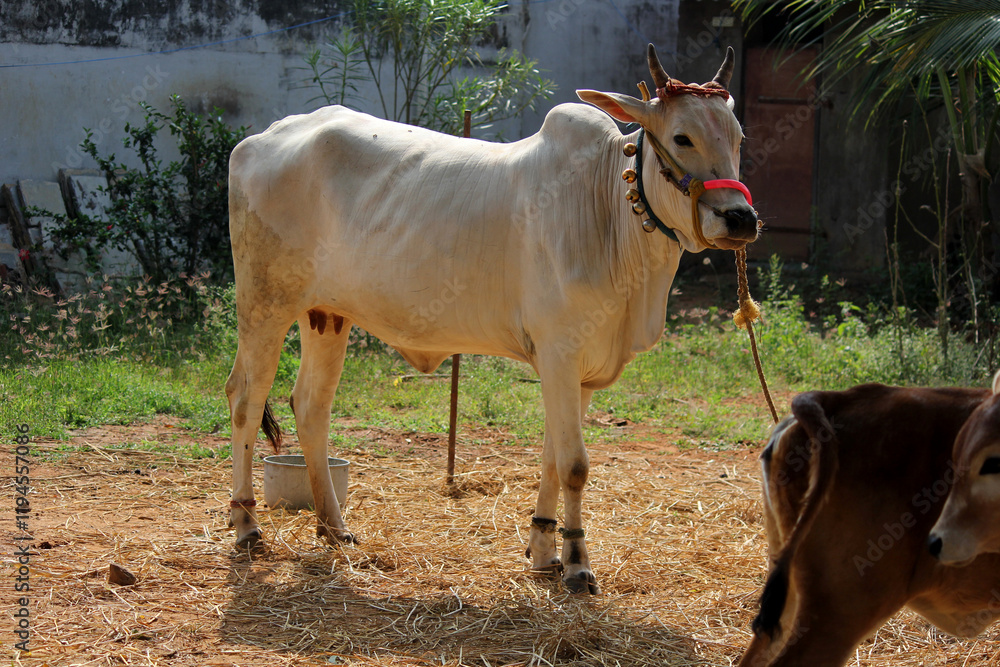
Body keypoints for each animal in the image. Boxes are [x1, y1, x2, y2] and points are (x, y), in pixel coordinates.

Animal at [224, 45, 758, 594]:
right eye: (681, 137)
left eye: (738, 138)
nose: (740, 218)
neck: (608, 207)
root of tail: (262, 138)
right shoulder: (560, 350)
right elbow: (574, 465)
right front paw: (577, 563)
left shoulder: (580, 368)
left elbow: (552, 457)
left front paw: (543, 550)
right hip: (264, 304)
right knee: (246, 399)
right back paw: (246, 525)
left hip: (326, 313)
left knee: (311, 406)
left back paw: (334, 528)